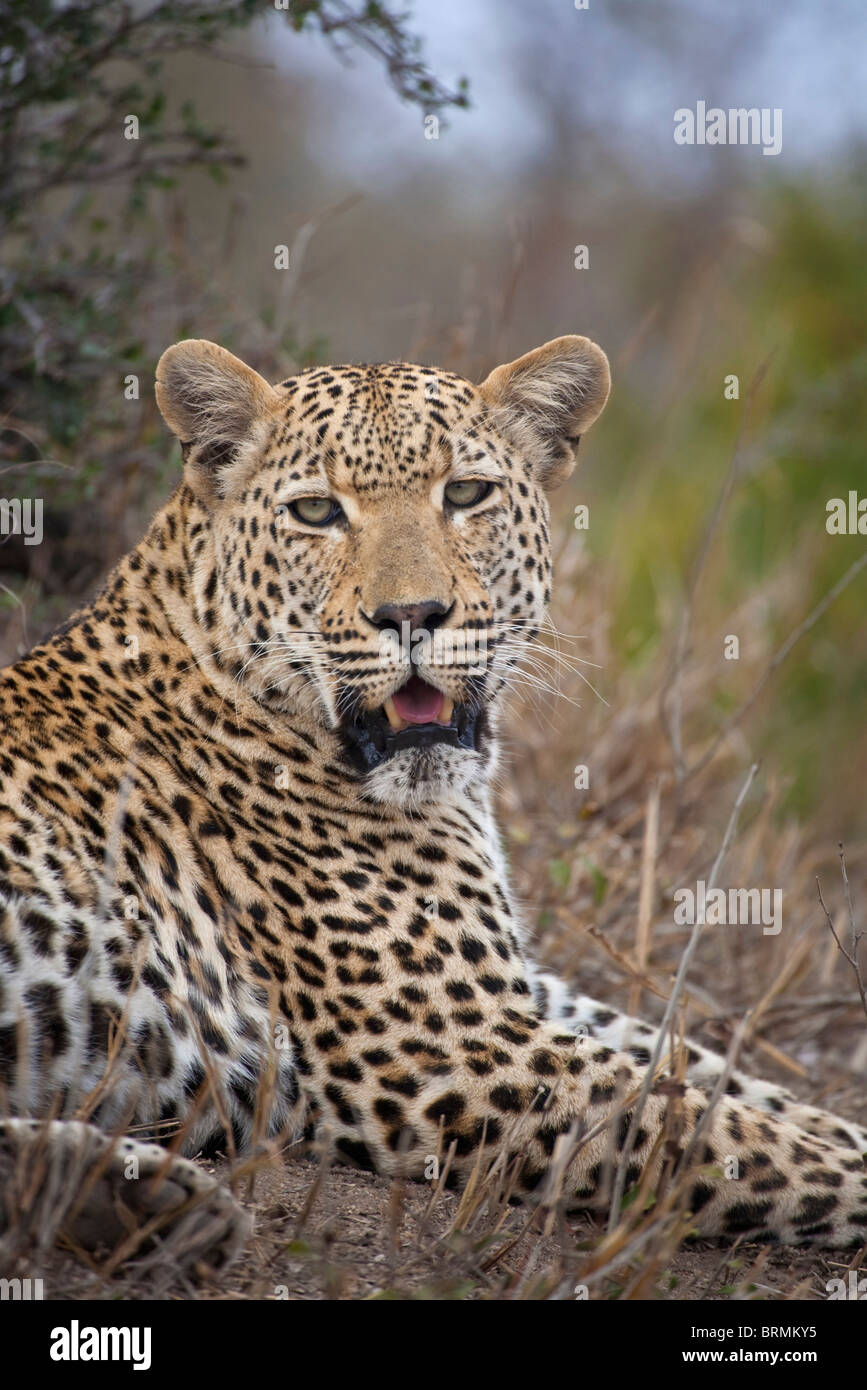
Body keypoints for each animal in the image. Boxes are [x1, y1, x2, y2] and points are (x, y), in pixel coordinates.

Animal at [1, 332, 866, 1274]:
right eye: (316, 512)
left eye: (465, 494)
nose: (412, 614)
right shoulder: (448, 1047)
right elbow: (726, 1131)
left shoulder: (509, 987)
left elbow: (710, 1069)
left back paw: (141, 1203)